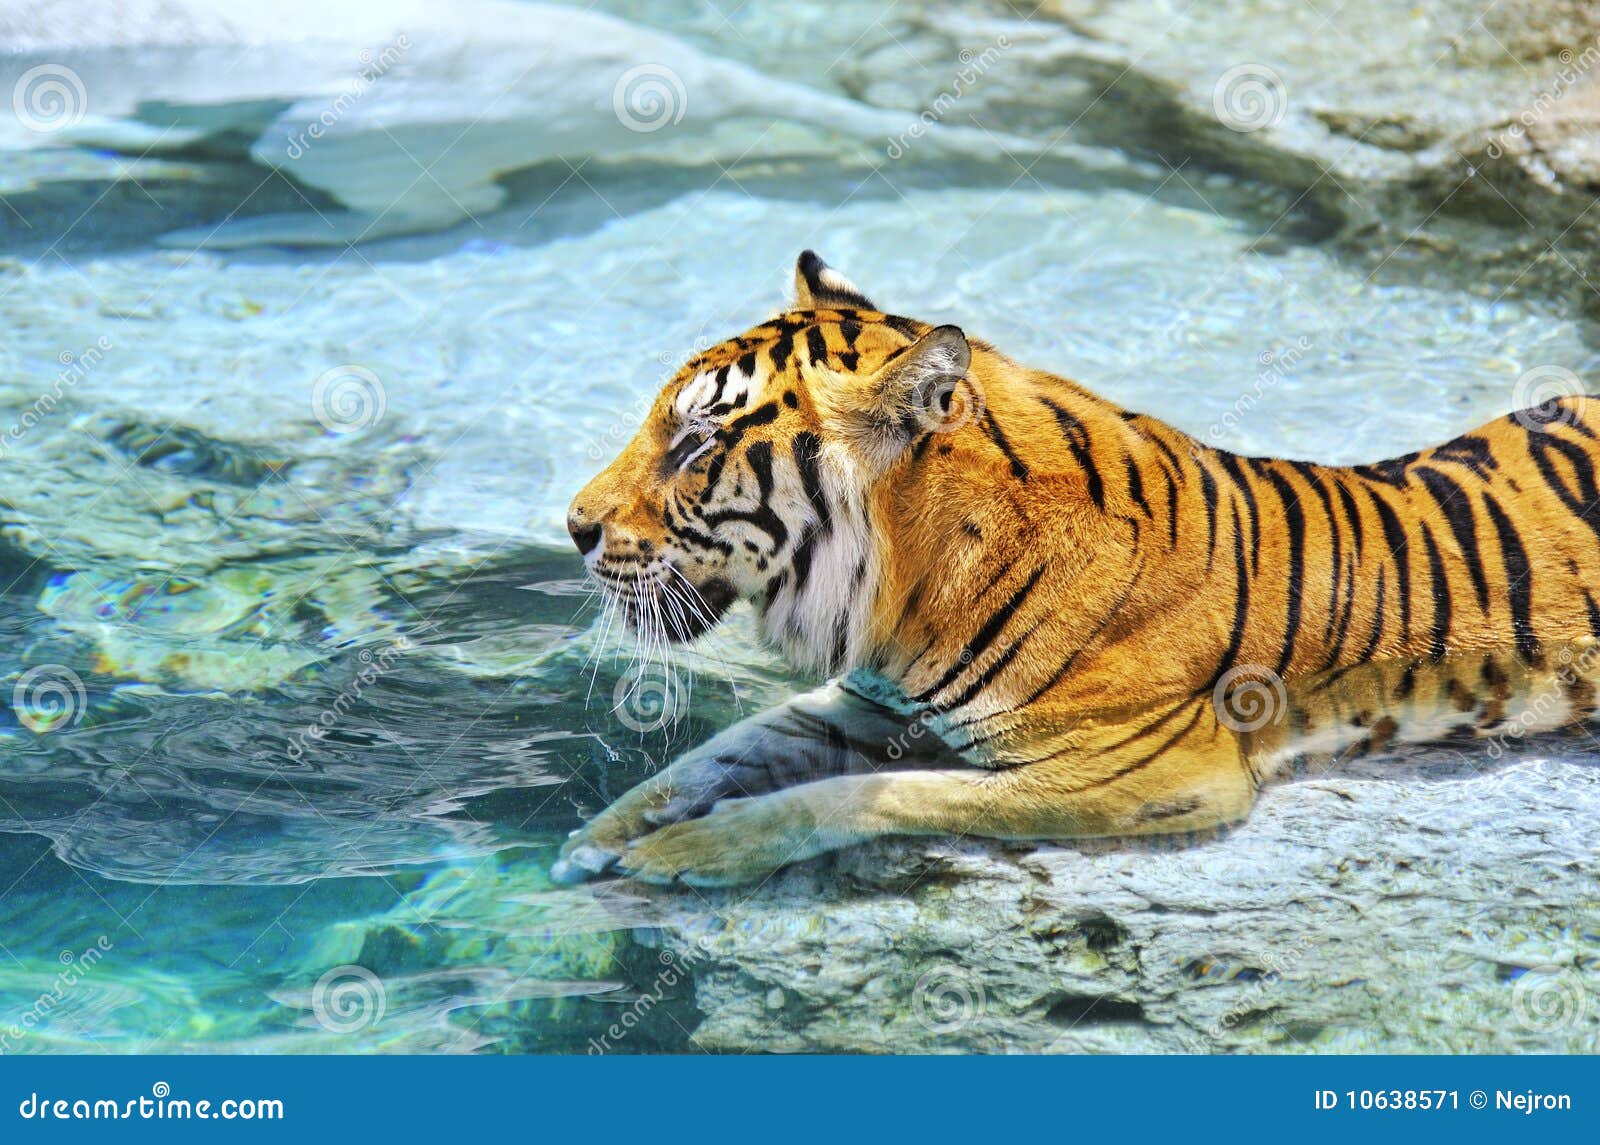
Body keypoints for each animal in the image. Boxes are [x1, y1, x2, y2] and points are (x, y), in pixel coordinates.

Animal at [551, 250, 1600, 888]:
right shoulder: (874, 701)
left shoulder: (1146, 767)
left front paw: (690, 849)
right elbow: (721, 751)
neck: (909, 588)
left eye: (694, 445)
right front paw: (597, 837)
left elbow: (850, 796)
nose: (574, 527)